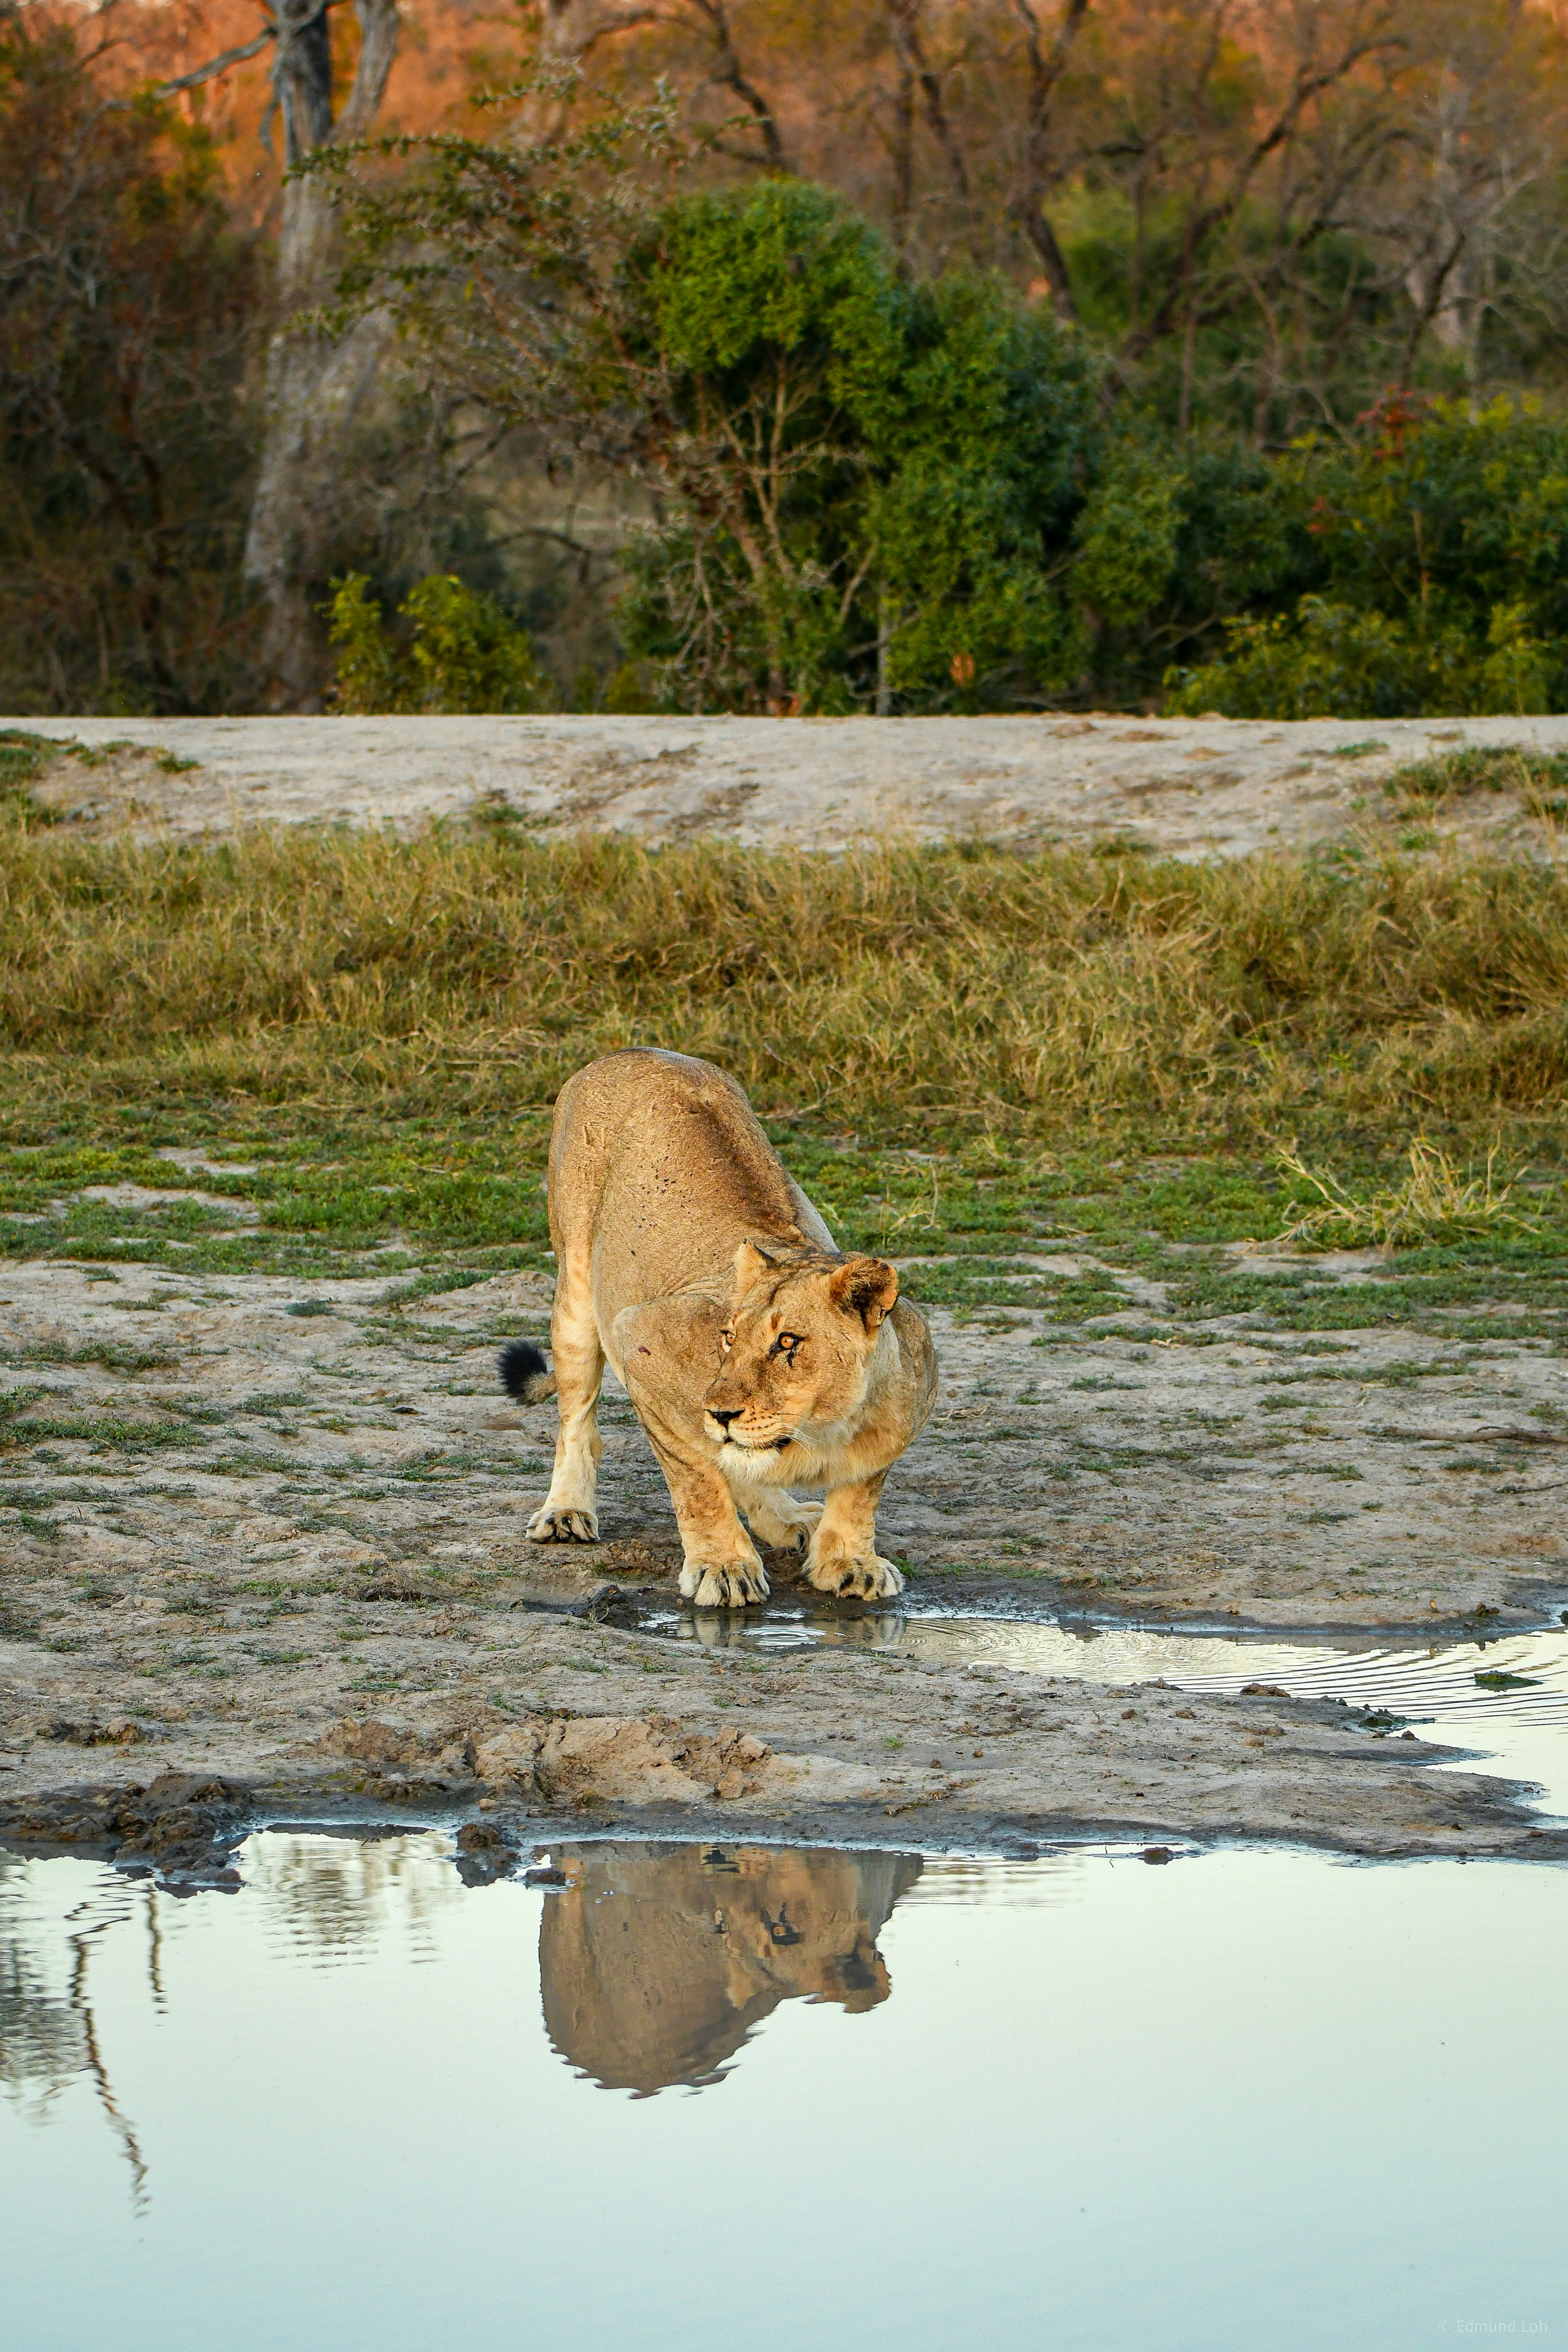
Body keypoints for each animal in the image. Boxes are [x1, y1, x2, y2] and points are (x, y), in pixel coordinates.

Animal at [498, 1048, 936, 1608]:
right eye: (728, 1338)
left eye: (787, 1342)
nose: (723, 1412)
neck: (820, 1426)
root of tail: (630, 1051)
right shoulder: (641, 1344)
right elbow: (698, 1481)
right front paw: (723, 1568)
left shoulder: (902, 1413)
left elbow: (859, 1494)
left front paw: (850, 1563)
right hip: (576, 1287)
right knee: (578, 1419)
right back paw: (566, 1513)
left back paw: (790, 1520)